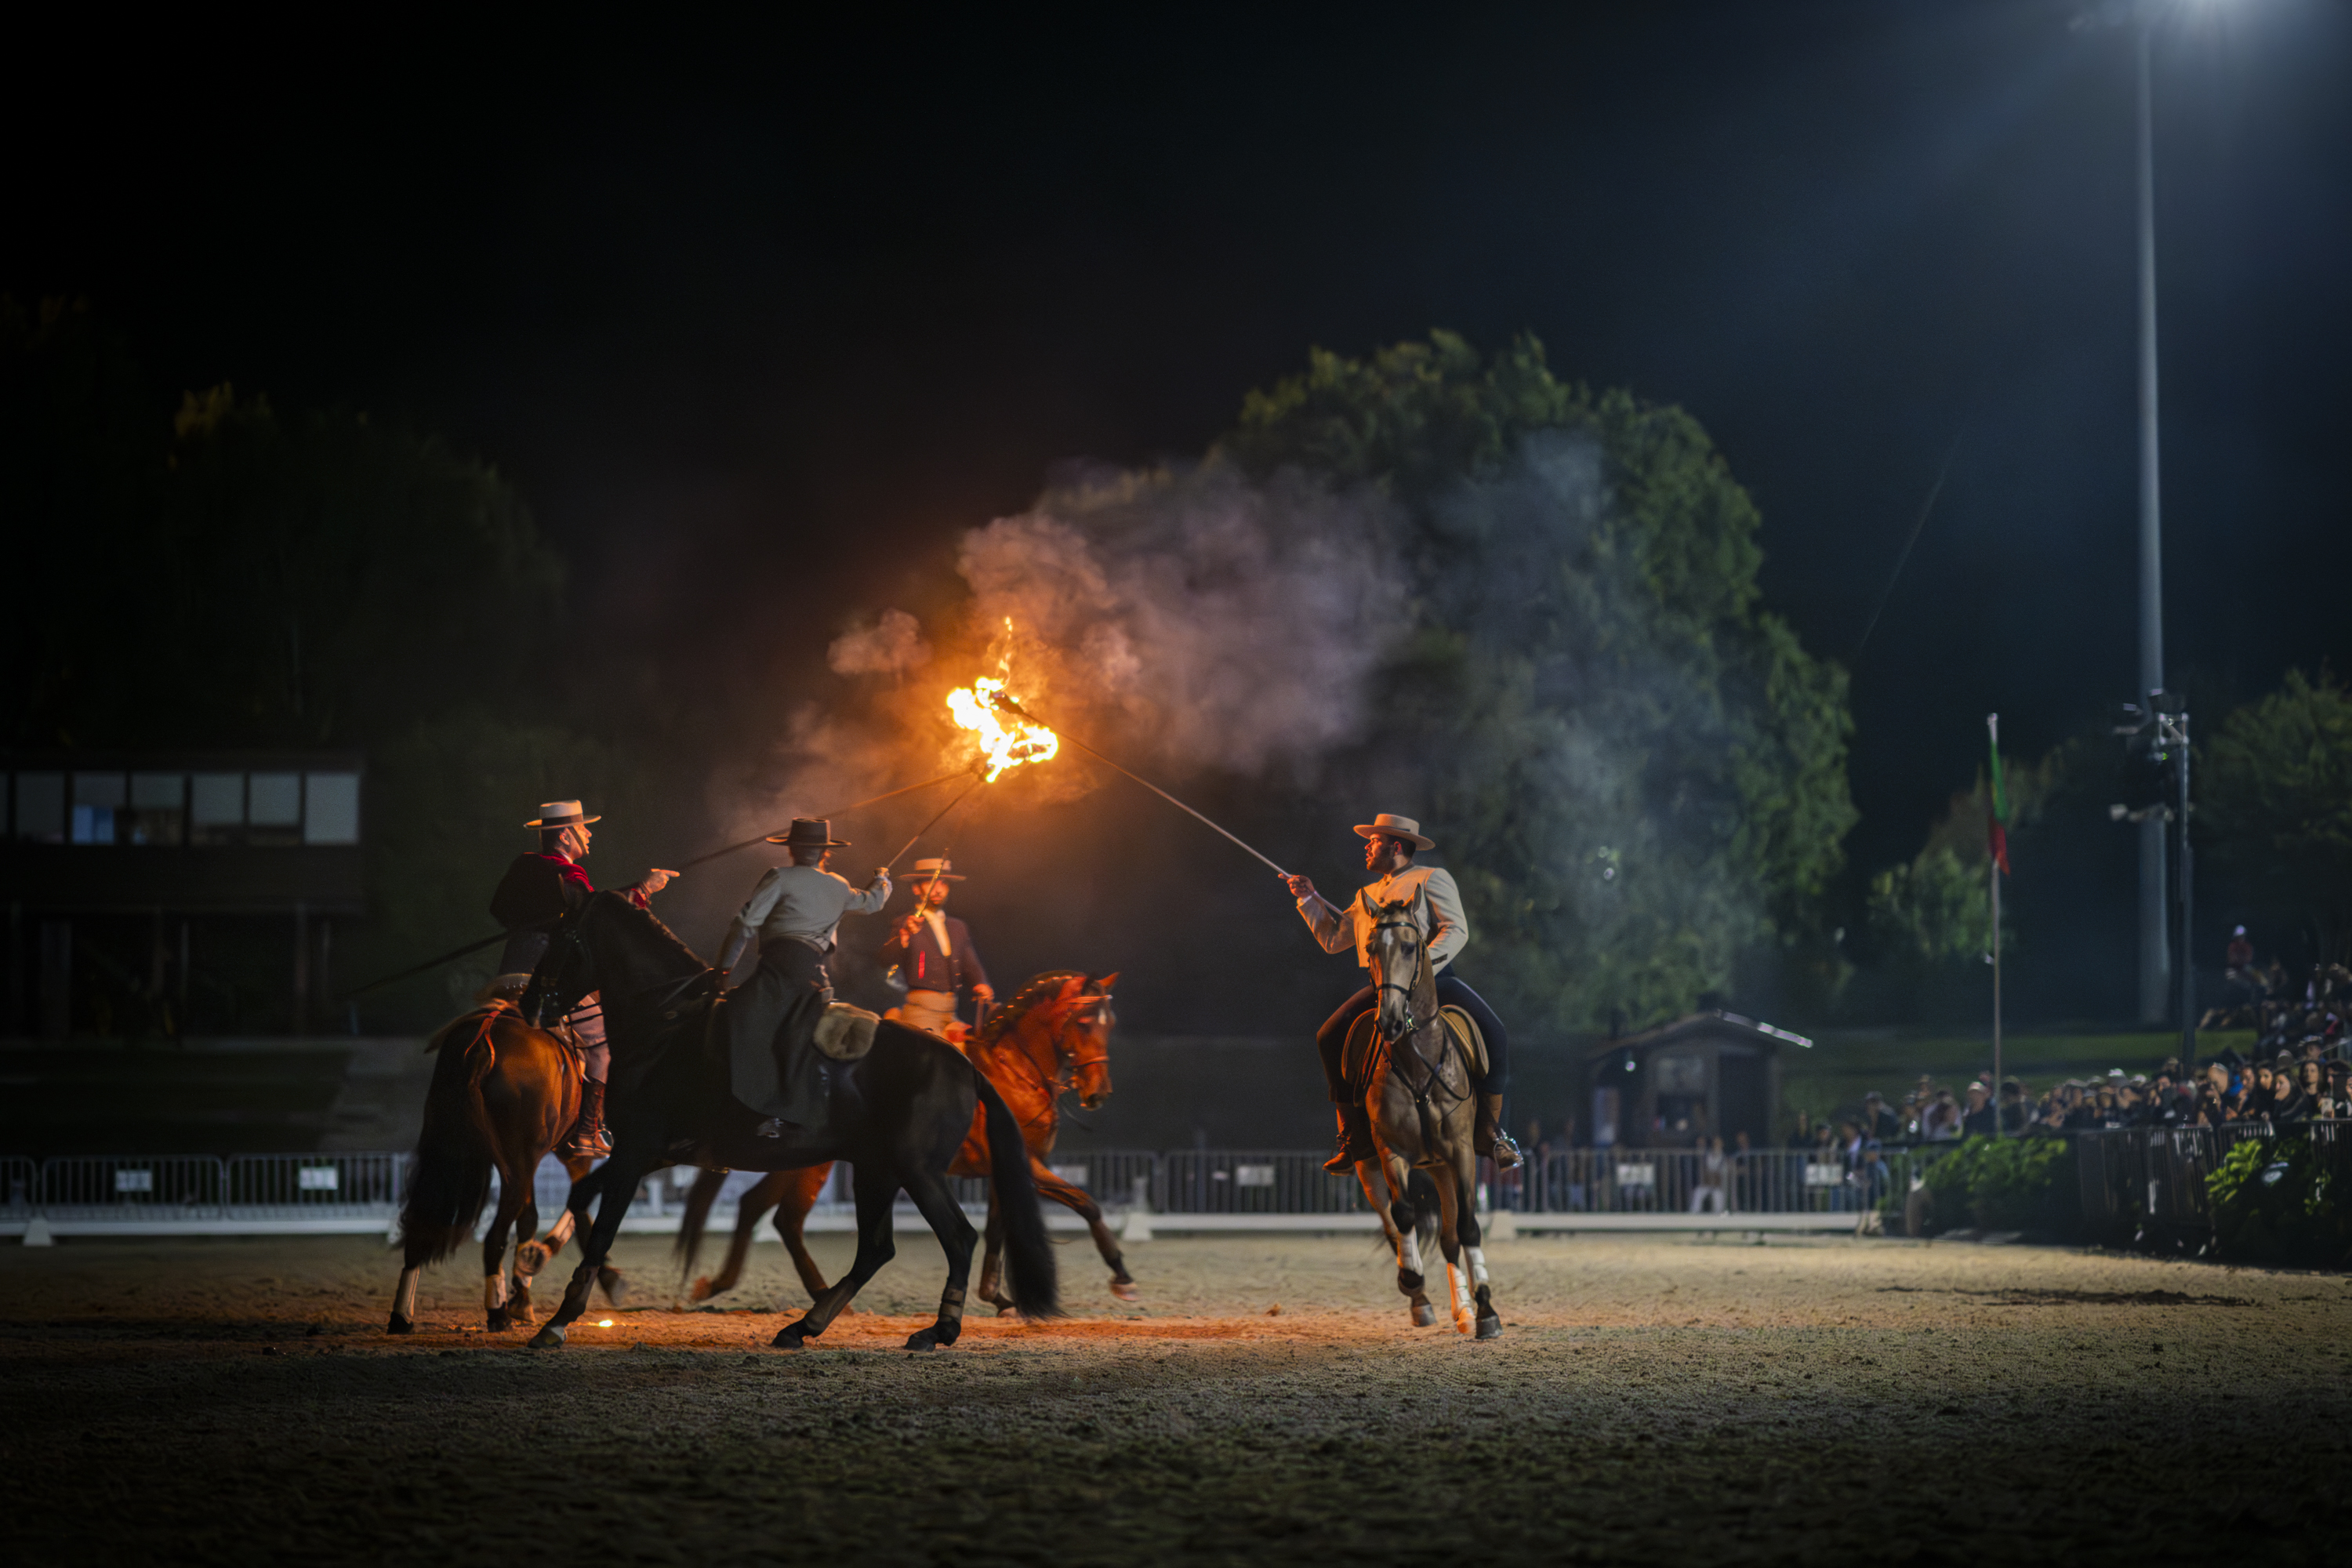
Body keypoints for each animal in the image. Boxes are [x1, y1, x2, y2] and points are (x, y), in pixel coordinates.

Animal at [387, 1004, 621, 1333]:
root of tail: (485, 1037)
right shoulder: (575, 1156)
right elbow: (584, 1215)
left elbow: (534, 1218)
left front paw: (523, 1291)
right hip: (519, 1162)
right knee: (495, 1236)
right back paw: (497, 1311)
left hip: (457, 1154)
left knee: (423, 1224)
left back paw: (402, 1315)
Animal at [523, 891, 1059, 1350]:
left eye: (560, 936)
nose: (530, 1003)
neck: (666, 1023)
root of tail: (964, 1064)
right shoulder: (651, 1153)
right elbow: (581, 1197)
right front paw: (586, 1278)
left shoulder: (636, 1149)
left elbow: (603, 1228)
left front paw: (559, 1321)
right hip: (876, 1171)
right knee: (874, 1249)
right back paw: (805, 1325)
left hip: (918, 1171)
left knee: (957, 1238)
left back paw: (937, 1330)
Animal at [676, 970, 1132, 1314]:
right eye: (1084, 1022)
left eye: (1111, 1024)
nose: (1099, 1093)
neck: (1013, 1071)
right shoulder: (1027, 1167)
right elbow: (1086, 1203)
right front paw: (1121, 1276)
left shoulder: (1007, 1169)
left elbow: (999, 1229)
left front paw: (998, 1298)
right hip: (809, 1162)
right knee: (775, 1214)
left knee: (766, 1211)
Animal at [1342, 894, 1503, 1339]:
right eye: (1370, 949)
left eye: (1411, 947)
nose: (1390, 1021)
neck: (1417, 1064)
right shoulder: (1390, 1152)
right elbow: (1404, 1217)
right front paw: (1413, 1280)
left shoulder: (1461, 1153)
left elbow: (1468, 1227)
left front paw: (1486, 1311)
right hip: (1369, 1165)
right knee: (1393, 1226)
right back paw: (1422, 1299)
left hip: (1443, 1167)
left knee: (1449, 1237)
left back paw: (1466, 1309)